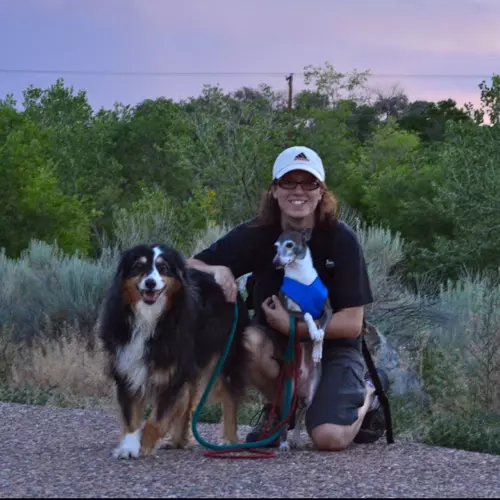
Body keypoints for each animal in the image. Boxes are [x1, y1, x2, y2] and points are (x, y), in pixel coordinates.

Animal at [98, 244, 250, 458]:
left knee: (230, 397)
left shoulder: (172, 374)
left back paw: (229, 440)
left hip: (225, 359)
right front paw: (129, 447)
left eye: (163, 268)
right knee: (188, 404)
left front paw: (144, 446)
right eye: (139, 266)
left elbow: (157, 419)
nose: (150, 283)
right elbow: (131, 414)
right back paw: (178, 440)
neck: (149, 318)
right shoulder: (127, 367)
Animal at [274, 227, 332, 450]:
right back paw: (283, 443)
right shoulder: (289, 313)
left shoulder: (328, 309)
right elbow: (307, 315)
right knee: (285, 417)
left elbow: (322, 326)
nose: (275, 262)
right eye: (275, 246)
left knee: (299, 415)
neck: (302, 277)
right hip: (287, 392)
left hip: (310, 395)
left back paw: (297, 439)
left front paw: (317, 347)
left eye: (289, 245)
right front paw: (314, 332)